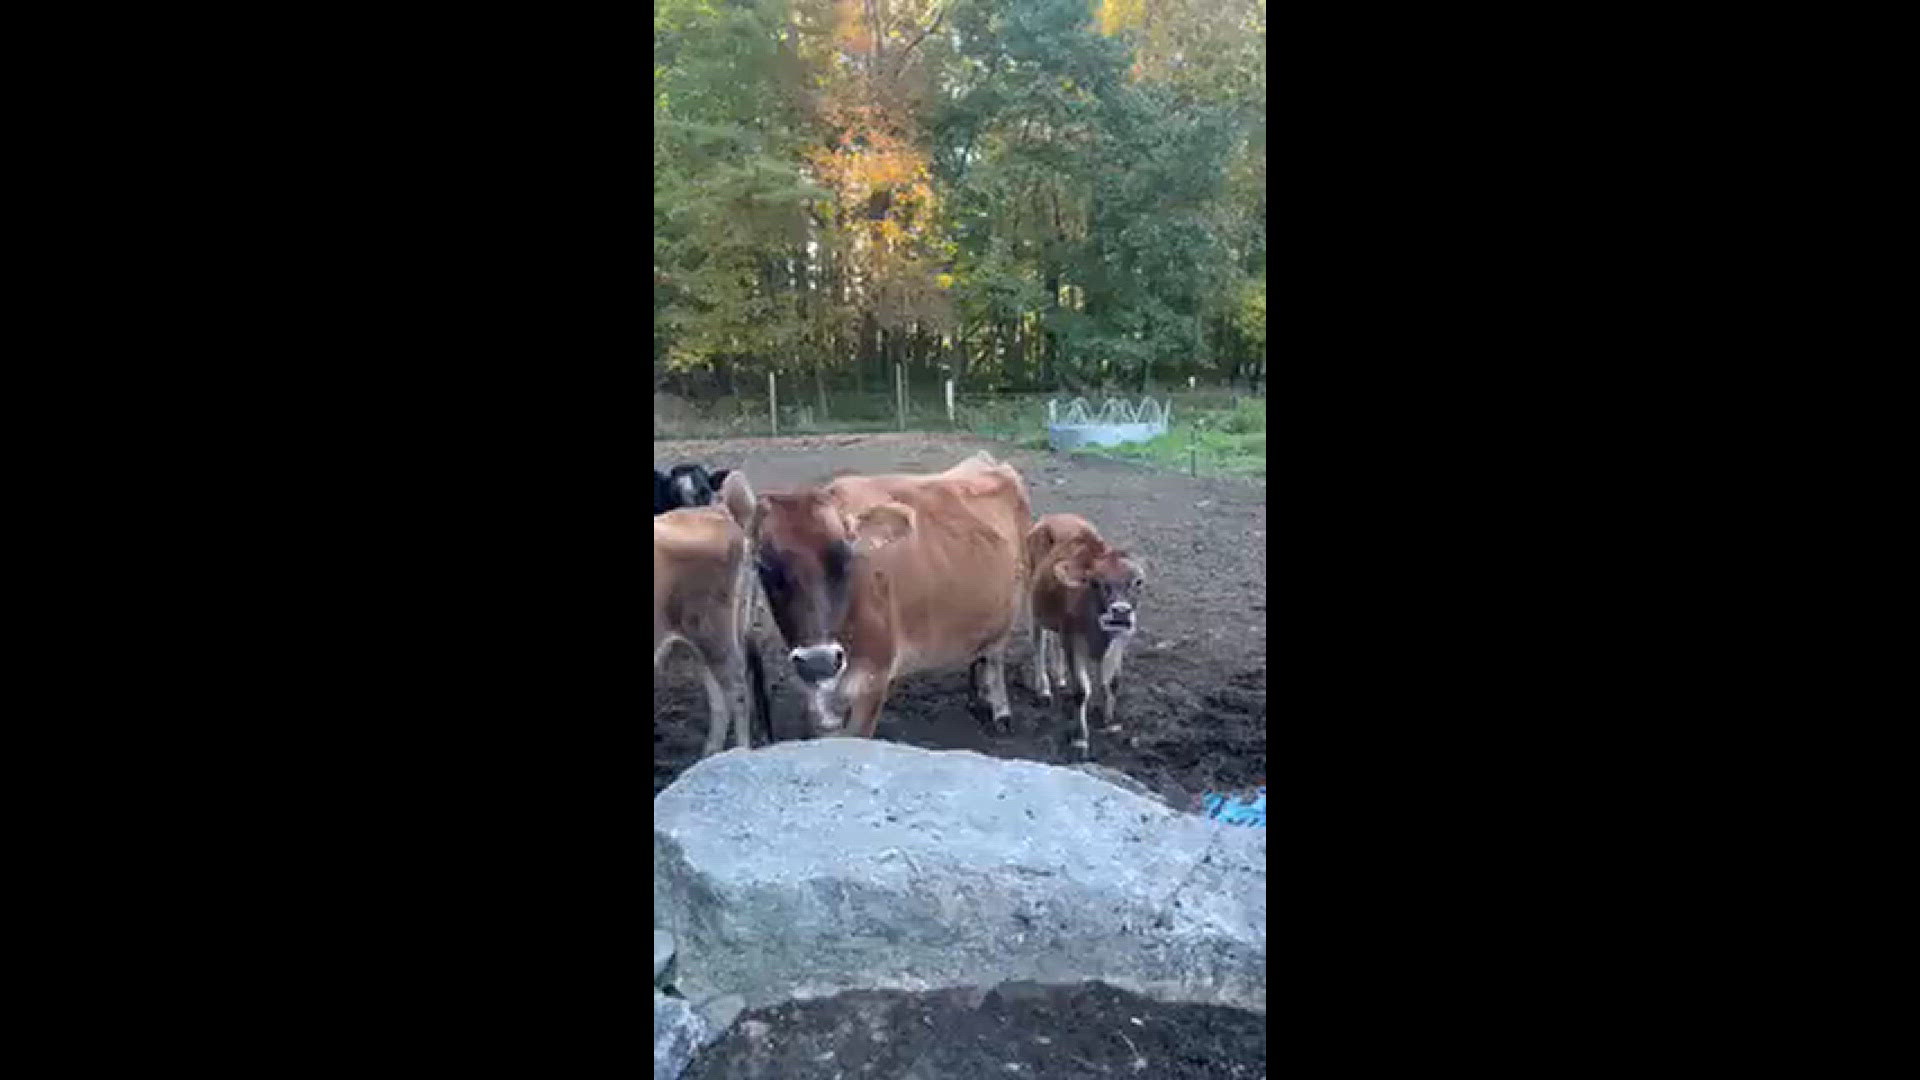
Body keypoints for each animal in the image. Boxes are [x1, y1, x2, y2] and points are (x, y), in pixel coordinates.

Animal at [654, 470, 768, 756]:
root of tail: (717, 511)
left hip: (712, 630)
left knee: (737, 689)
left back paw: (740, 751)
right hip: (703, 637)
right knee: (719, 696)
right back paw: (711, 753)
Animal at [749, 451, 1033, 738]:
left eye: (846, 558)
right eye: (762, 566)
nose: (819, 660)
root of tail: (987, 461)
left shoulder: (872, 681)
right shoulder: (814, 687)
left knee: (995, 656)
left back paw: (1000, 710)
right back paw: (975, 698)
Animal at [1026, 513, 1146, 756]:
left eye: (1137, 582)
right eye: (1095, 583)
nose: (1120, 612)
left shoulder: (1120, 641)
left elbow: (1112, 682)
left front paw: (1109, 720)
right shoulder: (1074, 642)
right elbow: (1082, 690)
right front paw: (1080, 738)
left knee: (1054, 640)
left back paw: (1060, 677)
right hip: (1033, 607)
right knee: (1038, 644)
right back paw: (1043, 689)